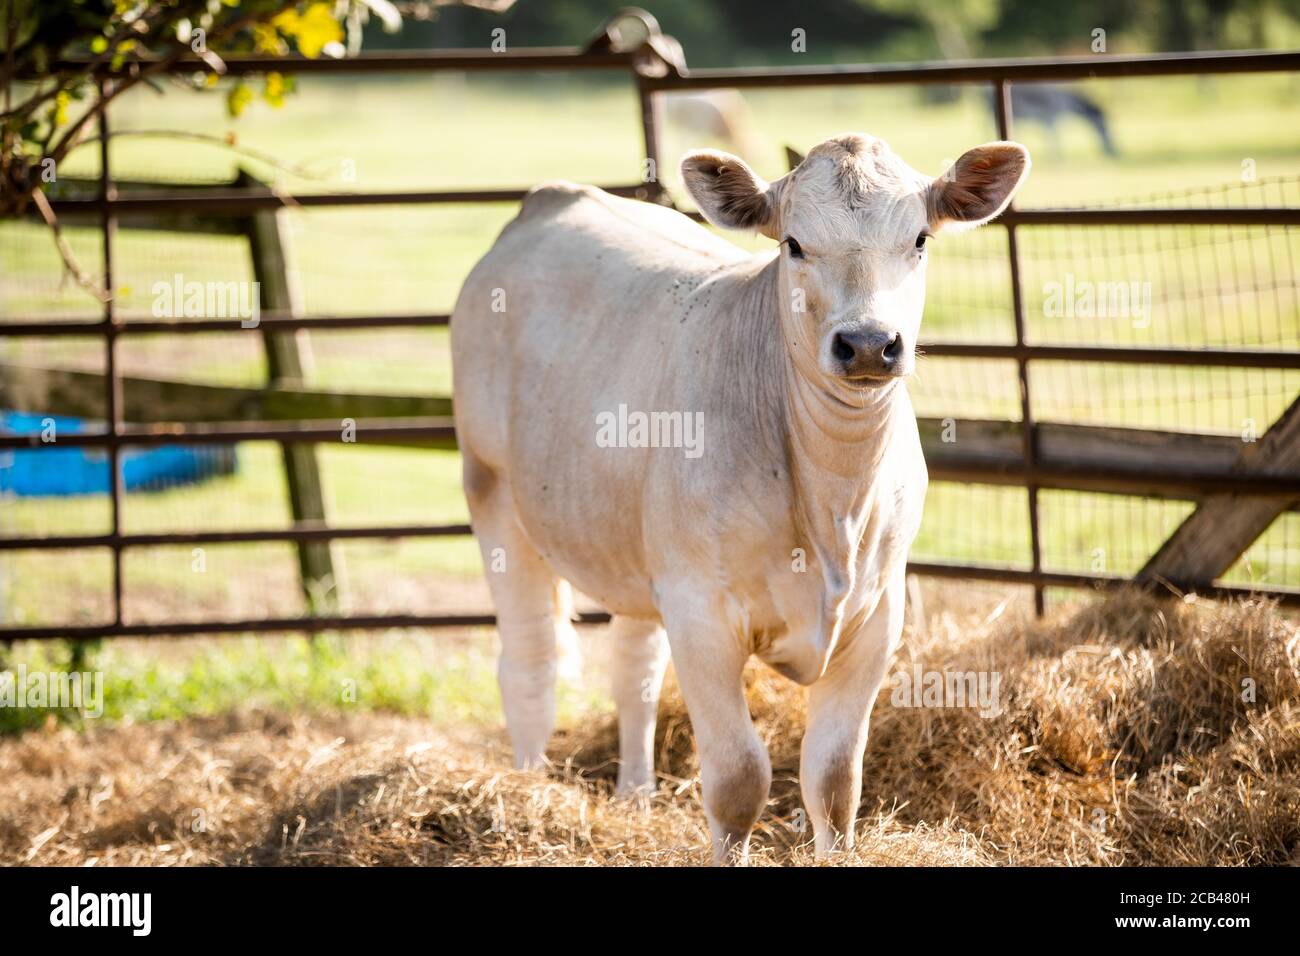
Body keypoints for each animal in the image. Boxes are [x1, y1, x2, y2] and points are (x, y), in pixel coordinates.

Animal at [450, 132, 1029, 864]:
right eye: (794, 244)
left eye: (920, 238)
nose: (869, 343)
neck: (832, 503)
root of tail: (550, 200)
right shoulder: (701, 609)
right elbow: (737, 780)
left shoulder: (879, 612)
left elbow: (835, 780)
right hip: (493, 492)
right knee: (529, 661)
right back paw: (525, 789)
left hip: (637, 545)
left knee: (634, 667)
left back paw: (634, 796)